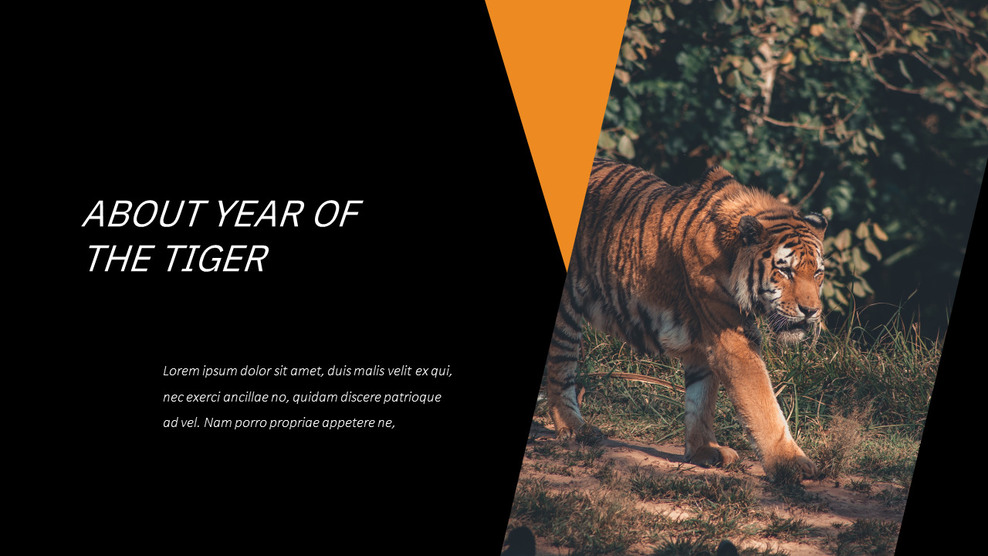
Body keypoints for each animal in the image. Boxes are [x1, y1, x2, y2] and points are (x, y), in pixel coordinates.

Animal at [545, 157, 828, 479]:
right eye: (785, 271)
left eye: (817, 273)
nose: (811, 311)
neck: (730, 252)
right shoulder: (731, 339)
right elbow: (762, 402)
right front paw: (790, 462)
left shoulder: (702, 340)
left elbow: (700, 397)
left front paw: (704, 450)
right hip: (567, 315)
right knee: (561, 370)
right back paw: (574, 429)